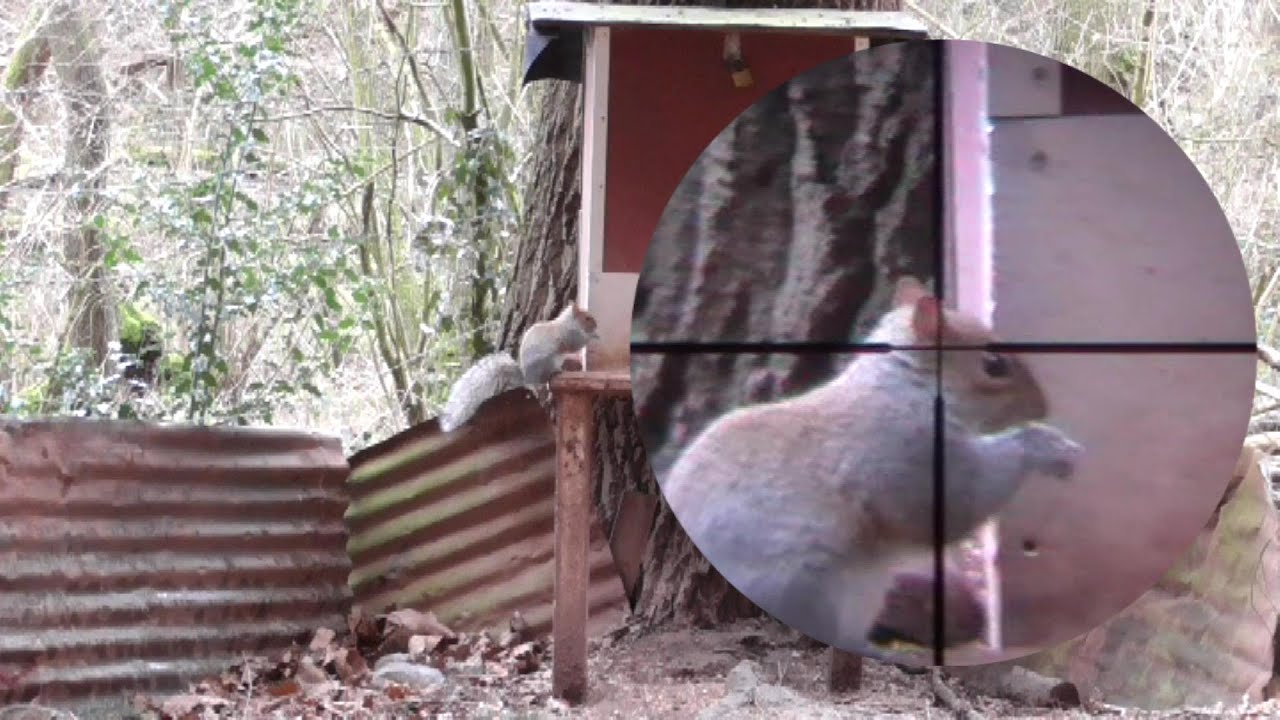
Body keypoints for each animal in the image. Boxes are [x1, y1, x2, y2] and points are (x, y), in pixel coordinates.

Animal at [438, 302, 599, 433]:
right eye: (587, 318)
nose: (596, 325)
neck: (568, 323)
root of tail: (527, 379)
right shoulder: (569, 335)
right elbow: (577, 344)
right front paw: (592, 336)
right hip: (547, 363)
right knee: (545, 379)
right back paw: (557, 372)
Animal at [659, 276, 1083, 659]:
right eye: (994, 365)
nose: (1042, 405)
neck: (906, 389)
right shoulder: (907, 456)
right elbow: (959, 500)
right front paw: (1048, 447)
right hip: (803, 582)